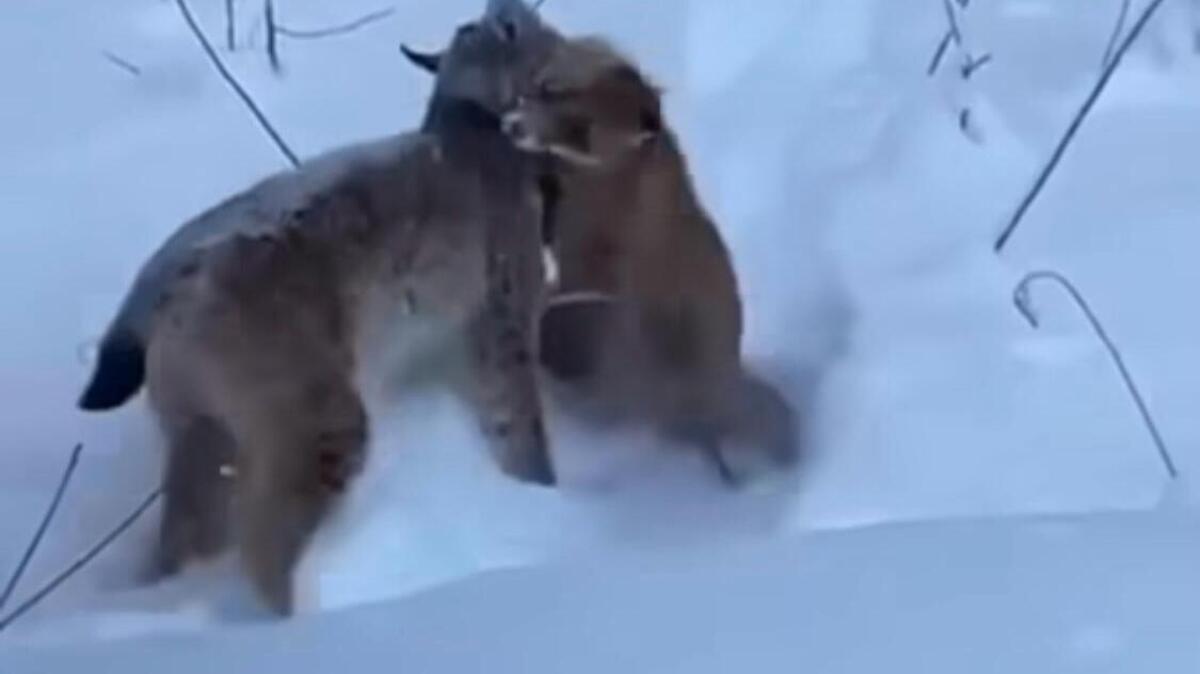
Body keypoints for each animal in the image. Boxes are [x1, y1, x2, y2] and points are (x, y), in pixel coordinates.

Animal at [78, 0, 563, 615]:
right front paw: (546, 496)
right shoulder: (503, 308)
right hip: (316, 413)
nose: (507, 9)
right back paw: (296, 620)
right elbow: (518, 416)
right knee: (262, 540)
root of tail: (174, 275)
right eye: (511, 28)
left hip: (199, 421)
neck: (464, 114)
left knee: (187, 531)